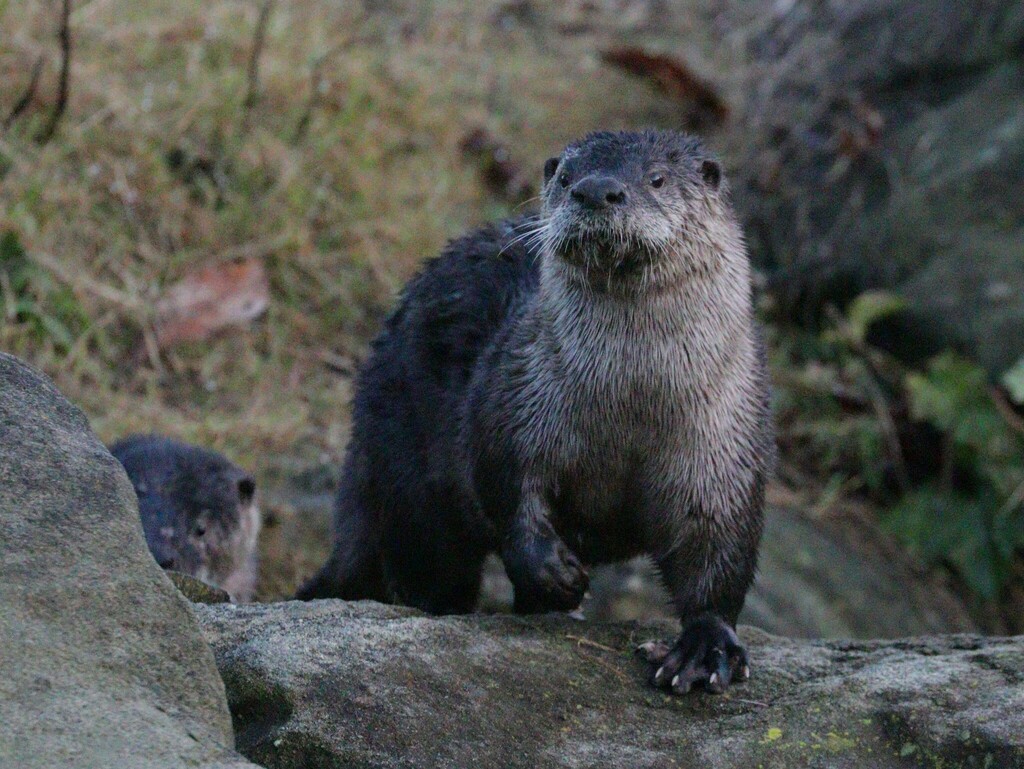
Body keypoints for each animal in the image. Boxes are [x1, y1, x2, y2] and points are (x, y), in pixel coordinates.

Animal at [299, 129, 773, 694]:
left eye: (657, 178)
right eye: (566, 177)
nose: (596, 190)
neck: (632, 407)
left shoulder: (726, 446)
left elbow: (719, 555)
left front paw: (704, 647)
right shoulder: (515, 395)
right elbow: (506, 485)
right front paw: (552, 571)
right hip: (407, 467)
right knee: (426, 561)